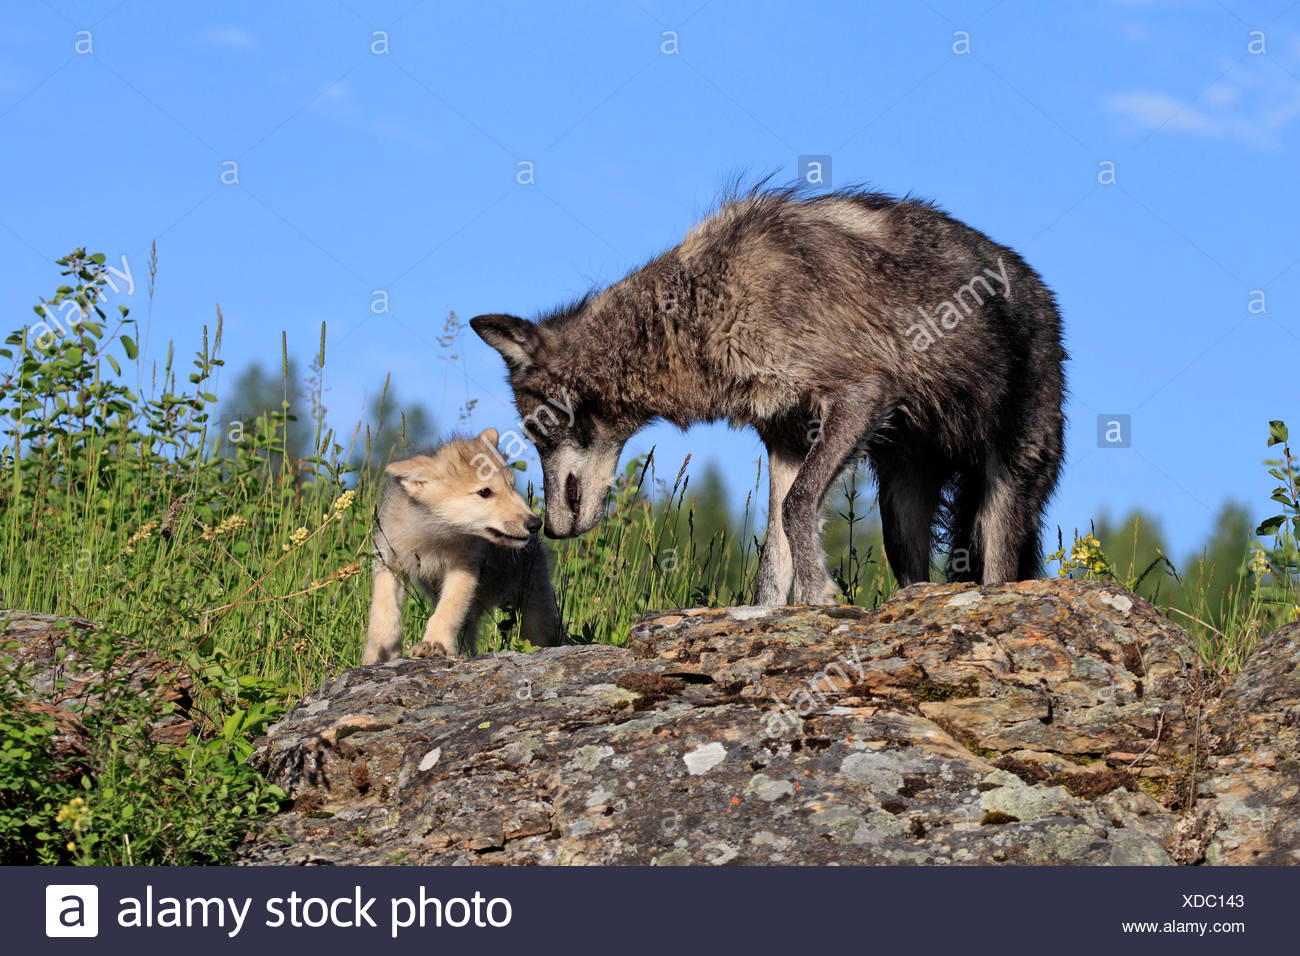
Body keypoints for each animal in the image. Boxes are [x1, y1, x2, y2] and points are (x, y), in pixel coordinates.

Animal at [361, 429, 562, 664]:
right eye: (485, 492)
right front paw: (380, 652)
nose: (535, 523)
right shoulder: (389, 561)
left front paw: (434, 645)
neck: (435, 538)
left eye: (512, 487)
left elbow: (446, 611)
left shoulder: (464, 569)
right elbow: (383, 609)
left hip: (535, 610)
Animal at [471, 186, 1065, 605]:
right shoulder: (785, 440)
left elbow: (798, 507)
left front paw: (820, 596)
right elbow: (774, 543)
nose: (549, 529)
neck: (699, 307)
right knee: (916, 574)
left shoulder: (860, 395)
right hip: (900, 507)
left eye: (538, 433)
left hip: (1001, 493)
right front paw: (774, 609)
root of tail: (1043, 293)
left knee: (999, 572)